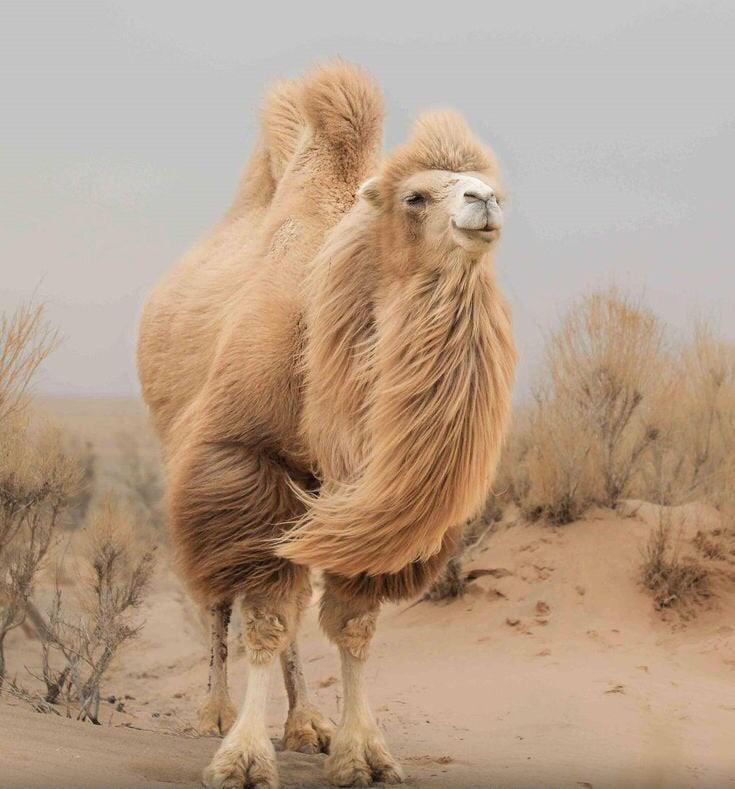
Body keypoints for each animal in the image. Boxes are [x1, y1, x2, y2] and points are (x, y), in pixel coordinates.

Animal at [137, 60, 516, 788]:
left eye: (494, 186)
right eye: (415, 196)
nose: (483, 202)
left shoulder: (359, 495)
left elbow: (353, 625)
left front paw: (362, 751)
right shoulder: (244, 459)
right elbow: (262, 617)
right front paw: (243, 758)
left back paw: (306, 722)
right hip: (184, 454)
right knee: (219, 599)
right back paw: (214, 712)